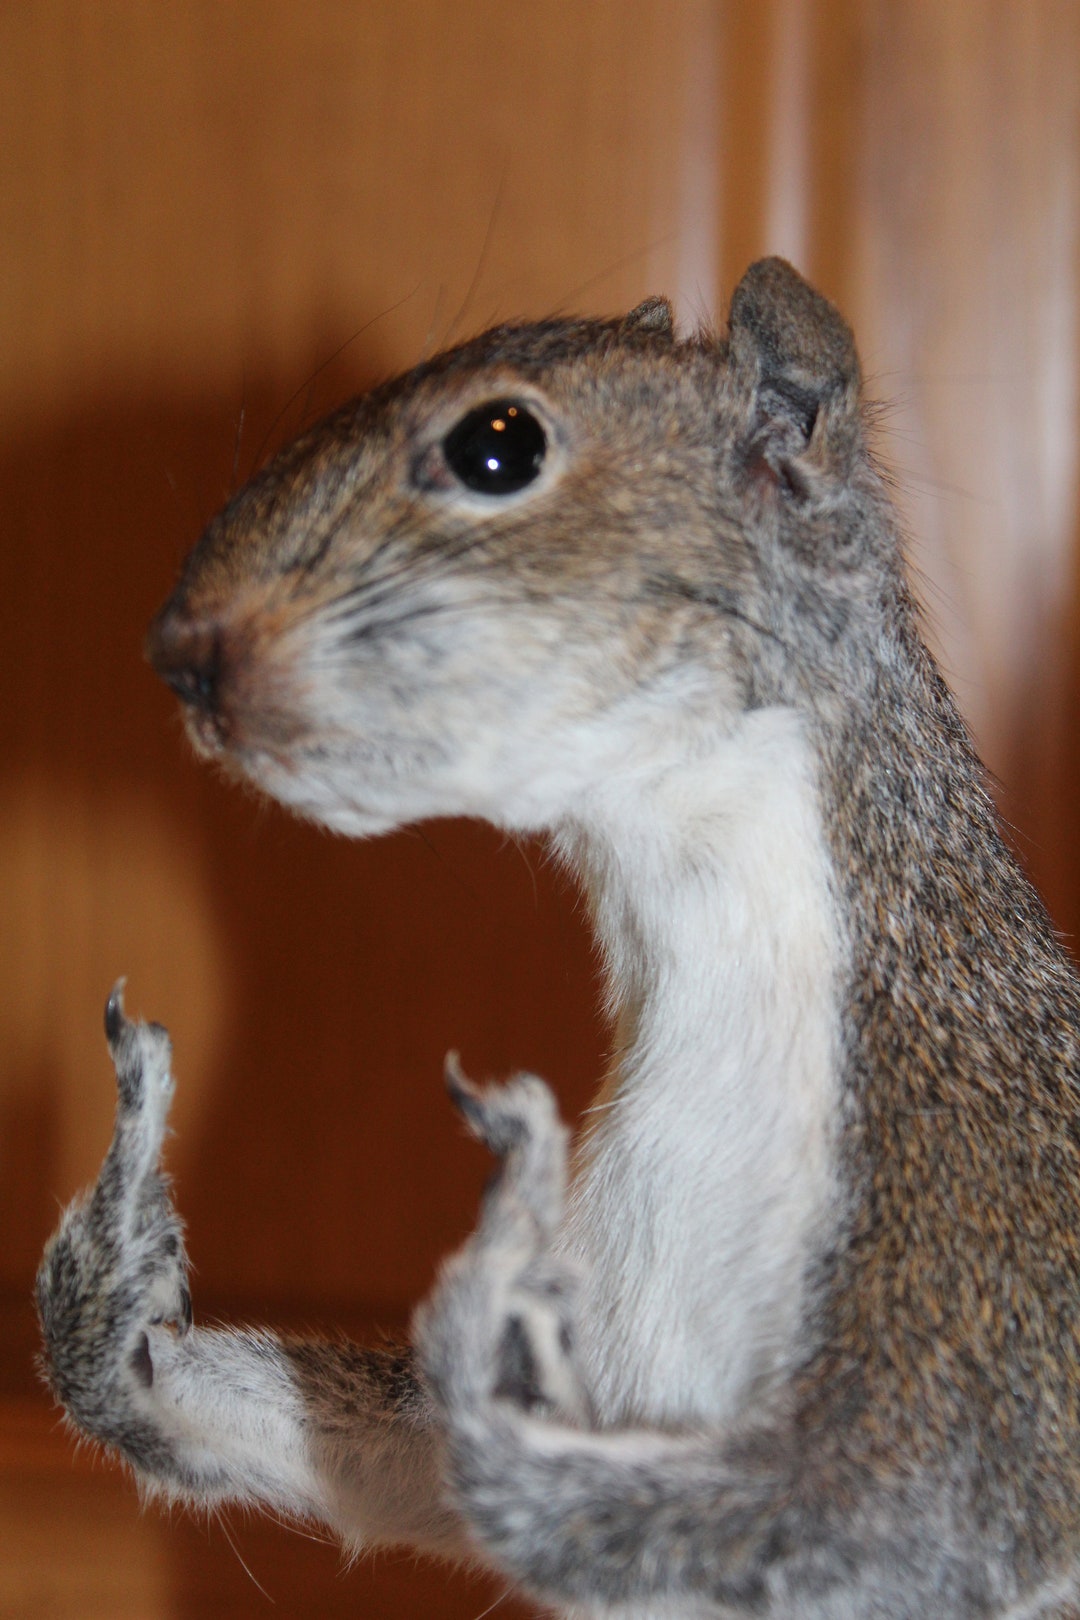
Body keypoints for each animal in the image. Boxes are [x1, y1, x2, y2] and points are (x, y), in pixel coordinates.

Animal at [36, 257, 1080, 1618]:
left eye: (499, 446)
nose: (178, 653)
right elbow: (389, 1453)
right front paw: (115, 1270)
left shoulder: (976, 1257)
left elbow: (883, 1512)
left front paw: (484, 1294)